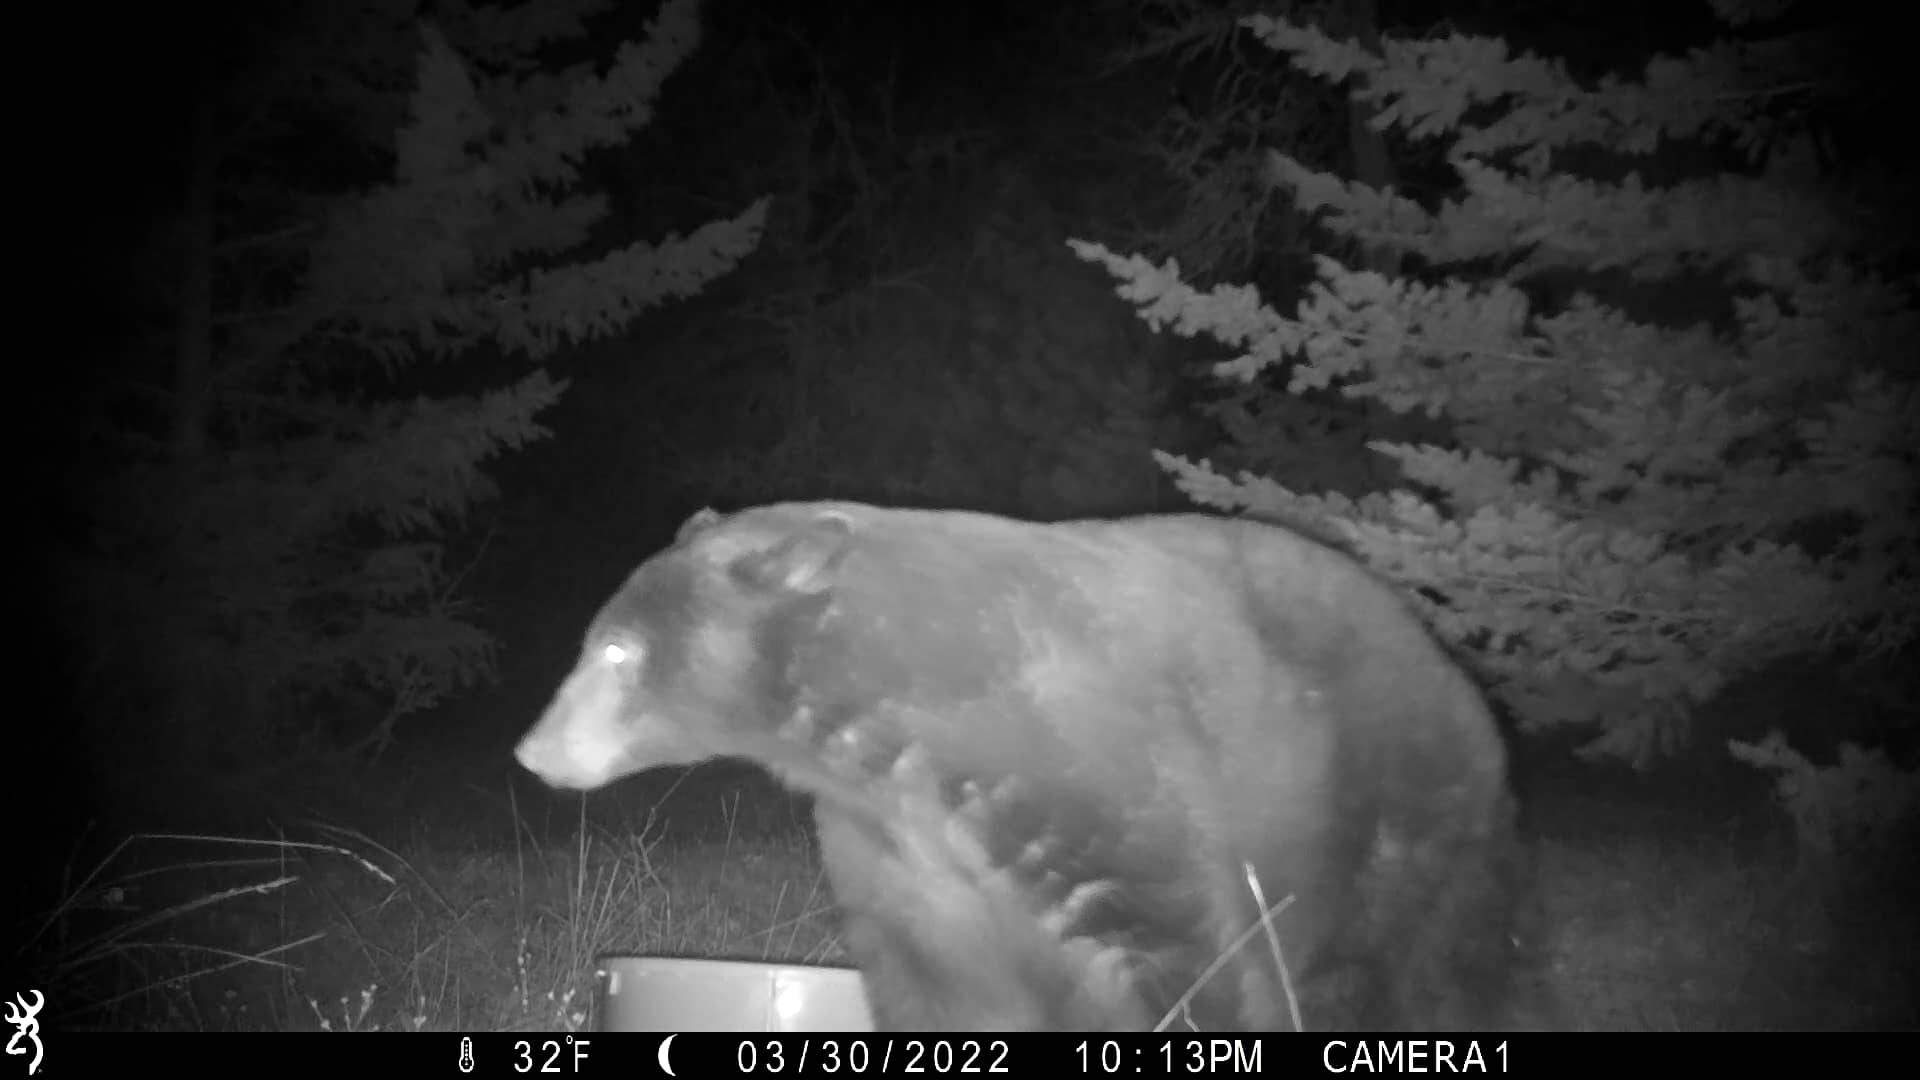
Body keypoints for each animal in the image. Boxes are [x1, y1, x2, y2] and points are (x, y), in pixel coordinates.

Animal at [514, 500, 1530, 1032]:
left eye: (615, 653)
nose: (532, 750)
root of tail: (1460, 680)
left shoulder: (1111, 792)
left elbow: (1192, 955)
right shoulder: (904, 858)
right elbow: (938, 983)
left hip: (1402, 817)